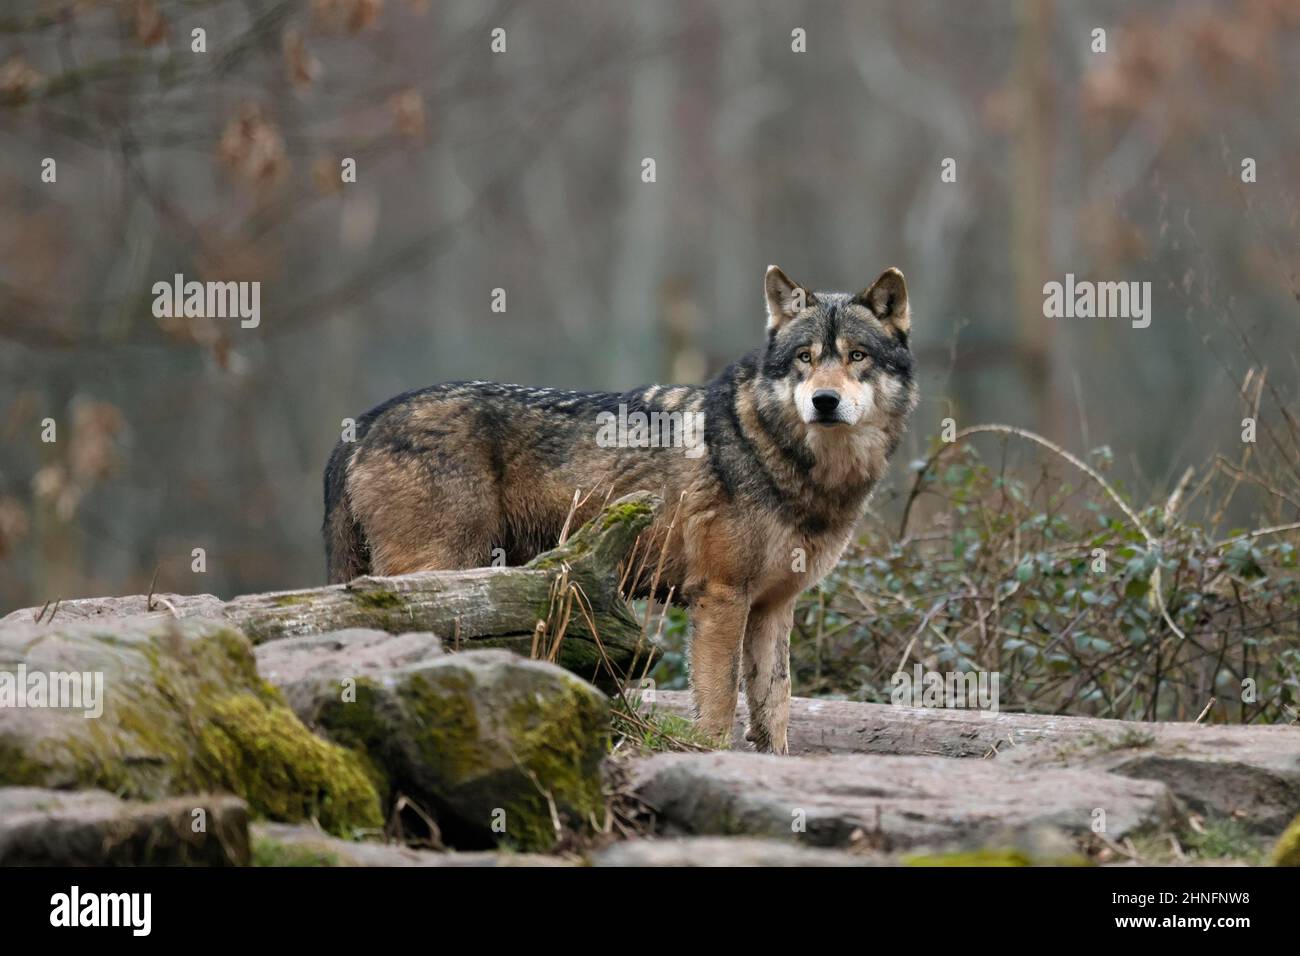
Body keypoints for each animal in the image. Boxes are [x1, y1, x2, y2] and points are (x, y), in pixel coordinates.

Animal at [323, 265, 918, 753]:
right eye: (805, 359)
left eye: (857, 356)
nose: (824, 401)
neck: (779, 454)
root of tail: (363, 423)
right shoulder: (721, 597)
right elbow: (721, 703)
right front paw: (710, 755)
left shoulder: (773, 607)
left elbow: (776, 708)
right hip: (444, 576)